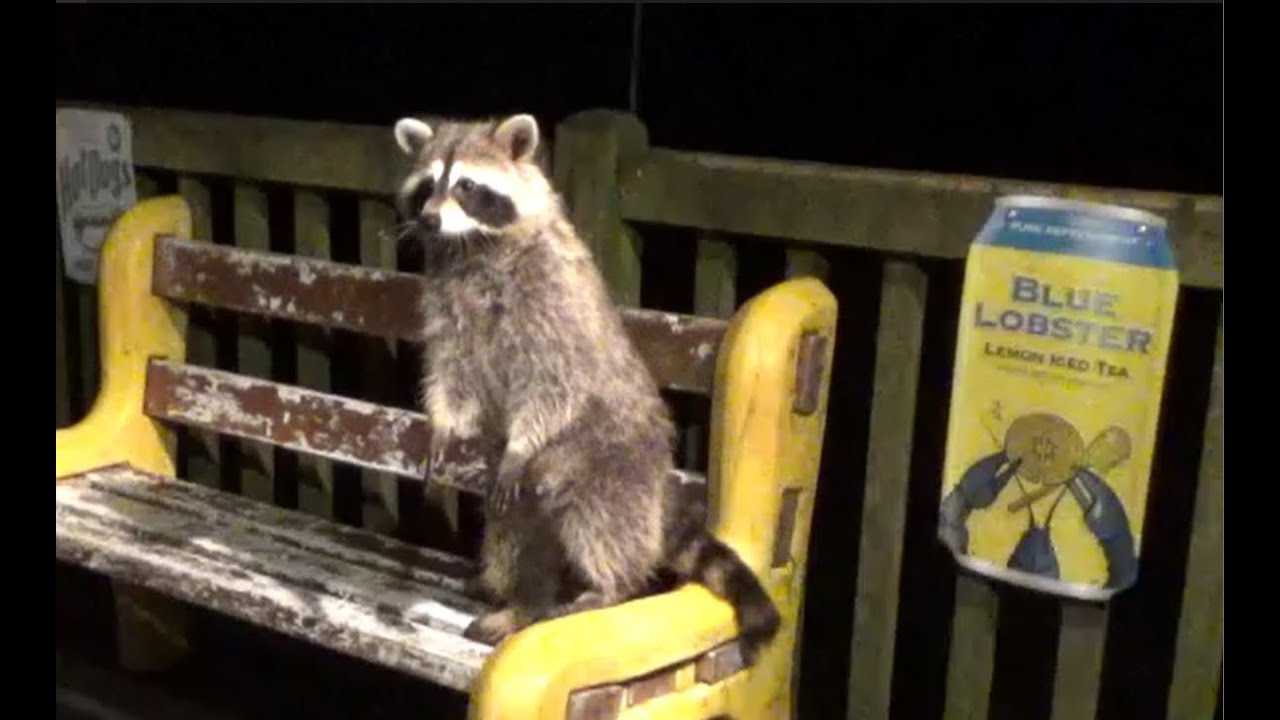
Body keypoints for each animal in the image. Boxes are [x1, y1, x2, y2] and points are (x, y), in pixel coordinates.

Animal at [391, 113, 781, 662]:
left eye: (467, 187)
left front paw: (520, 441)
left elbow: (552, 387)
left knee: (599, 526)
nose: (428, 220)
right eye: (427, 186)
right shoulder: (448, 309)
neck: (472, 248)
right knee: (514, 531)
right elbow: (452, 374)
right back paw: (510, 592)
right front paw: (443, 426)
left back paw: (608, 586)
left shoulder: (551, 306)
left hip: (607, 467)